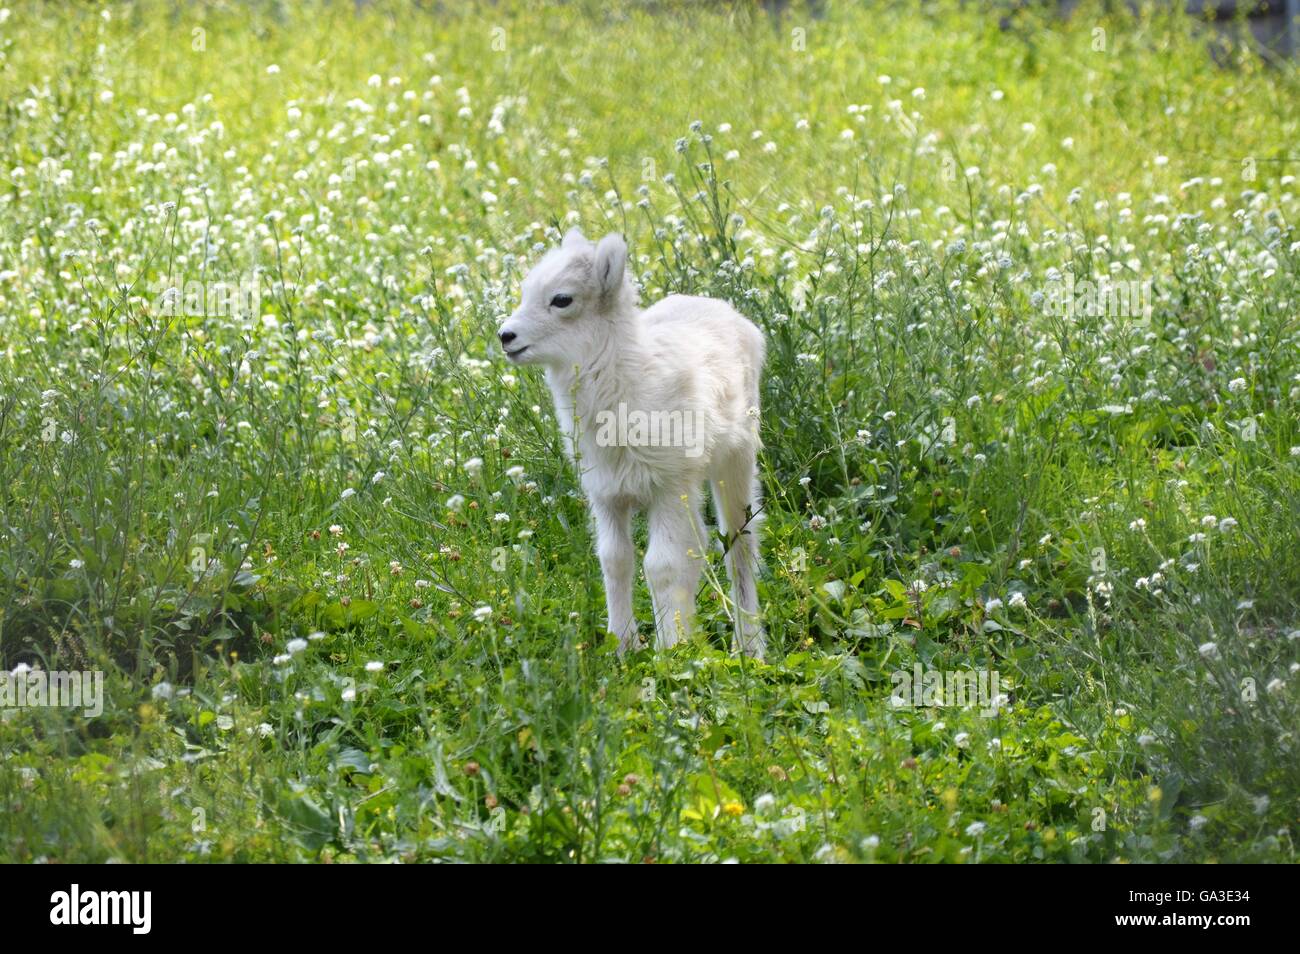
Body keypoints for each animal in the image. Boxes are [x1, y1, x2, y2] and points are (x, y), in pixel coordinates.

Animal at [497, 229, 767, 658]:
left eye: (562, 299)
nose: (506, 337)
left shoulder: (667, 488)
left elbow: (661, 566)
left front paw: (669, 653)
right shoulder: (606, 494)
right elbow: (615, 559)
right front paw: (624, 646)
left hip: (735, 458)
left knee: (739, 542)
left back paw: (750, 647)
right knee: (700, 544)